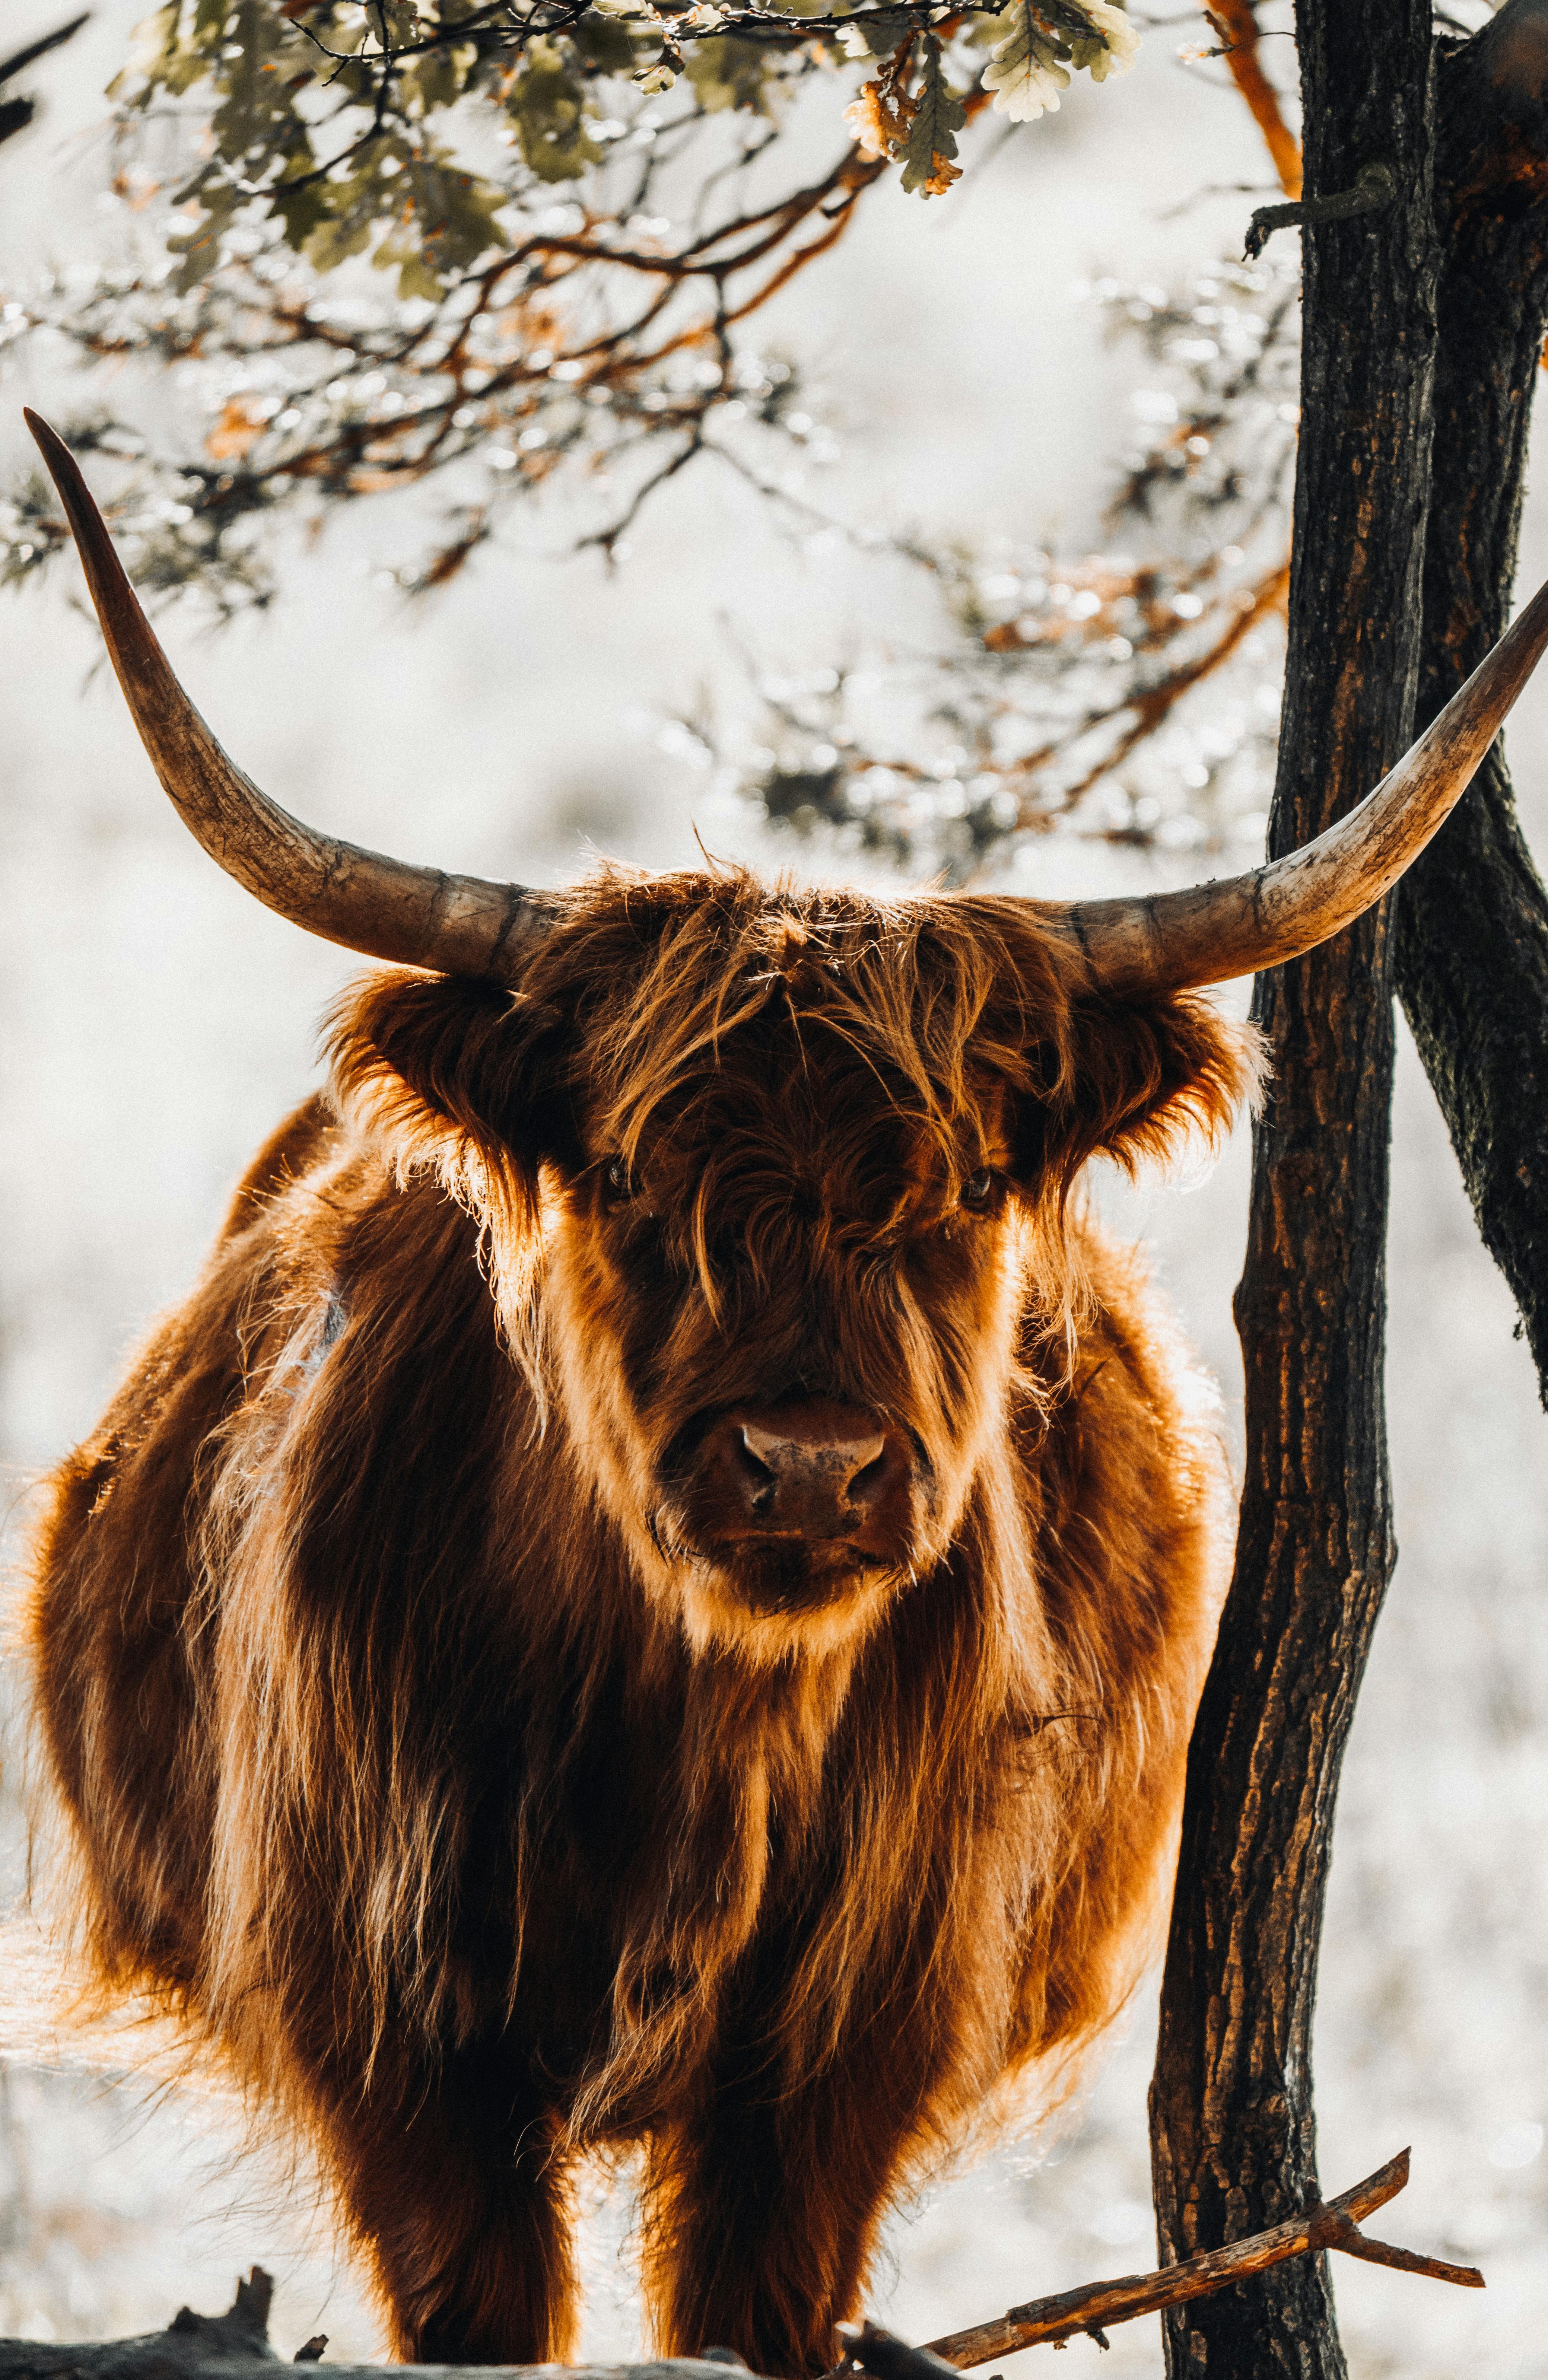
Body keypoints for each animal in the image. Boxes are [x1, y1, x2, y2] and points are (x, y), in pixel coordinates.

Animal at [21, 407, 1548, 2376]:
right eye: (620, 1176)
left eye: (965, 1185)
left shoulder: (838, 2081)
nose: (806, 1467)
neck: (700, 1736)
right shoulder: (405, 2068)